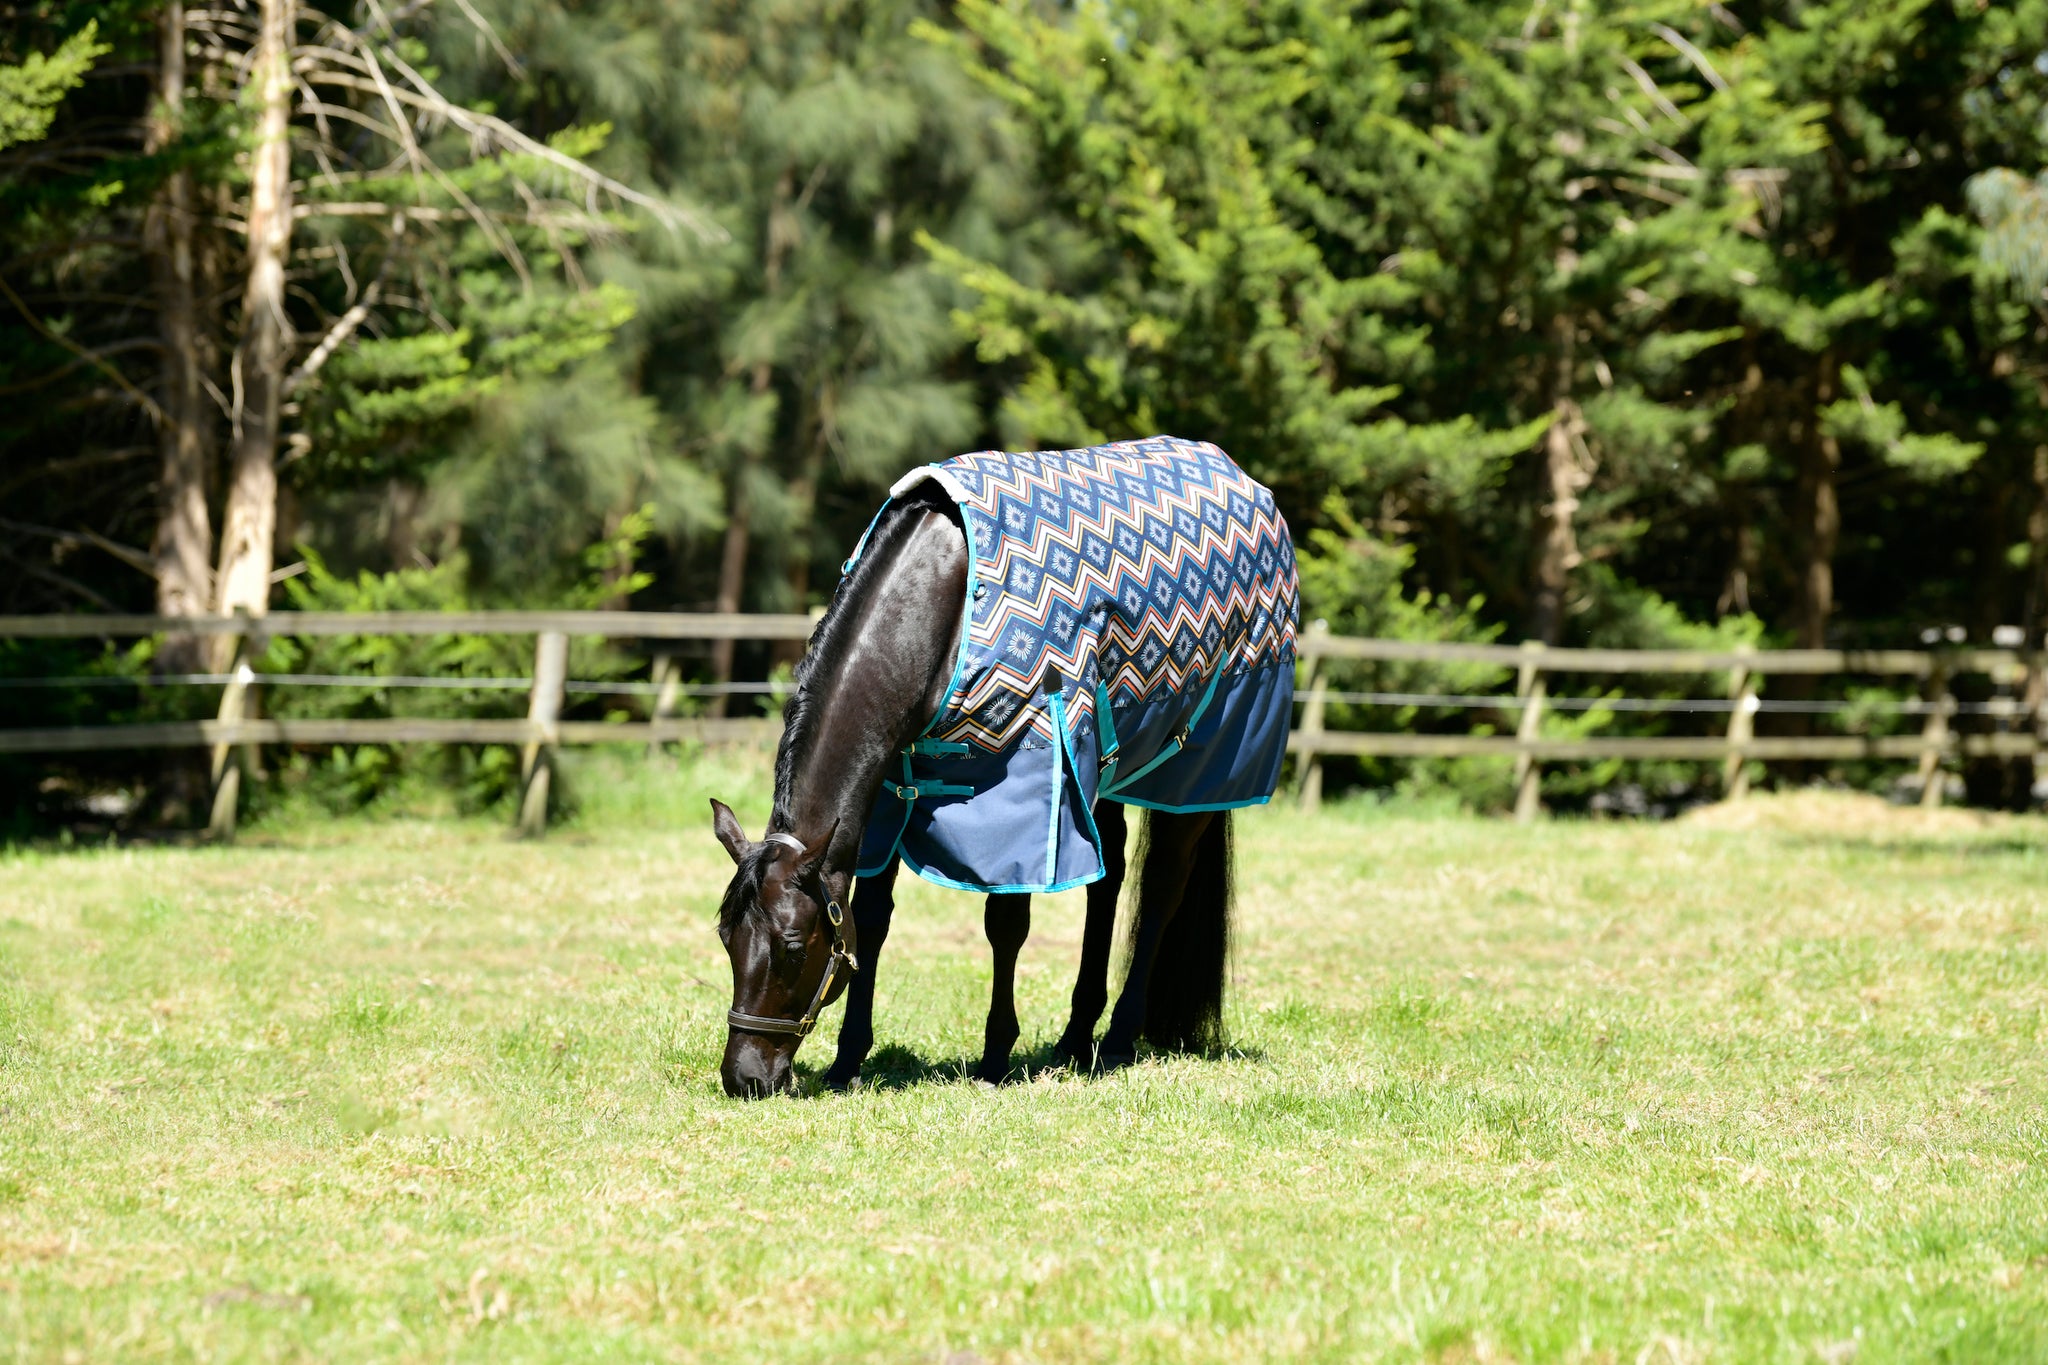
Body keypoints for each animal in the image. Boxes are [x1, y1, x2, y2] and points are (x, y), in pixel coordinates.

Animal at [710, 438, 1297, 1098]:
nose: (746, 1077)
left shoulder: (1022, 791)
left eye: (790, 947)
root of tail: (1244, 478)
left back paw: (1118, 1039)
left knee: (1164, 886)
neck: (940, 601)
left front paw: (995, 1058)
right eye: (727, 939)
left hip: (1195, 772)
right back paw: (1075, 1039)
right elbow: (872, 919)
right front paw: (847, 1061)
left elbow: (1007, 922)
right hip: (1103, 775)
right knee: (1110, 878)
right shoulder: (886, 794)